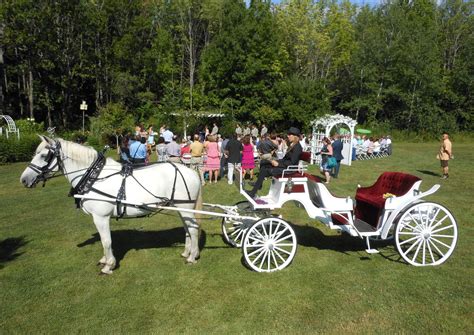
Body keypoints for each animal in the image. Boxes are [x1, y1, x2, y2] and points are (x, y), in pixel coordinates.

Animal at [20, 135, 202, 274]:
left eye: (44, 156)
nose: (23, 180)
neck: (93, 177)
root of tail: (192, 172)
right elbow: (104, 241)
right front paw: (104, 260)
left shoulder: (101, 217)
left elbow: (106, 241)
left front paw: (109, 265)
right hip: (179, 207)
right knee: (187, 229)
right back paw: (186, 252)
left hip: (185, 208)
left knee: (193, 229)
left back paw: (192, 256)